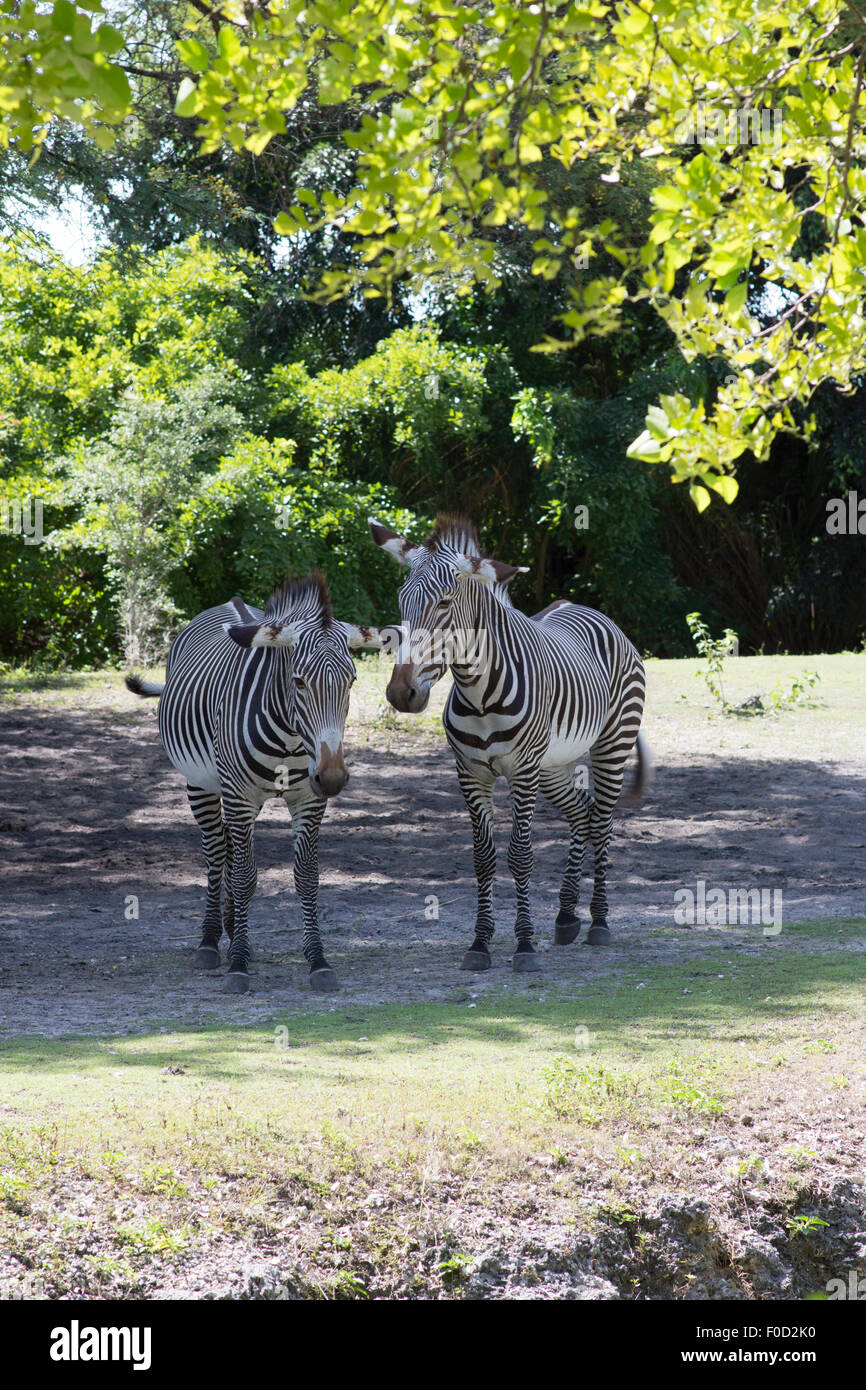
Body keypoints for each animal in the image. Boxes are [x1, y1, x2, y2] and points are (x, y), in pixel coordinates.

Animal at [126, 573, 388, 994]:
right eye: (299, 682)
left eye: (351, 681)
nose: (332, 777)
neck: (291, 737)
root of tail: (229, 604)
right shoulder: (239, 795)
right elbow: (247, 878)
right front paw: (238, 966)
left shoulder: (307, 799)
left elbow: (306, 877)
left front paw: (317, 960)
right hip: (202, 784)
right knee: (217, 851)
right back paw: (210, 941)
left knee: (231, 849)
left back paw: (236, 932)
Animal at [369, 515, 649, 973]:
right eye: (401, 600)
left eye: (444, 603)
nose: (400, 694)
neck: (480, 693)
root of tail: (583, 607)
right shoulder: (470, 773)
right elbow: (483, 859)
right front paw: (480, 943)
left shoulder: (522, 772)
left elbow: (520, 855)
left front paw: (524, 945)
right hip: (553, 764)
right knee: (582, 813)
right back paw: (567, 916)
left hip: (612, 743)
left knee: (603, 821)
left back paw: (598, 922)